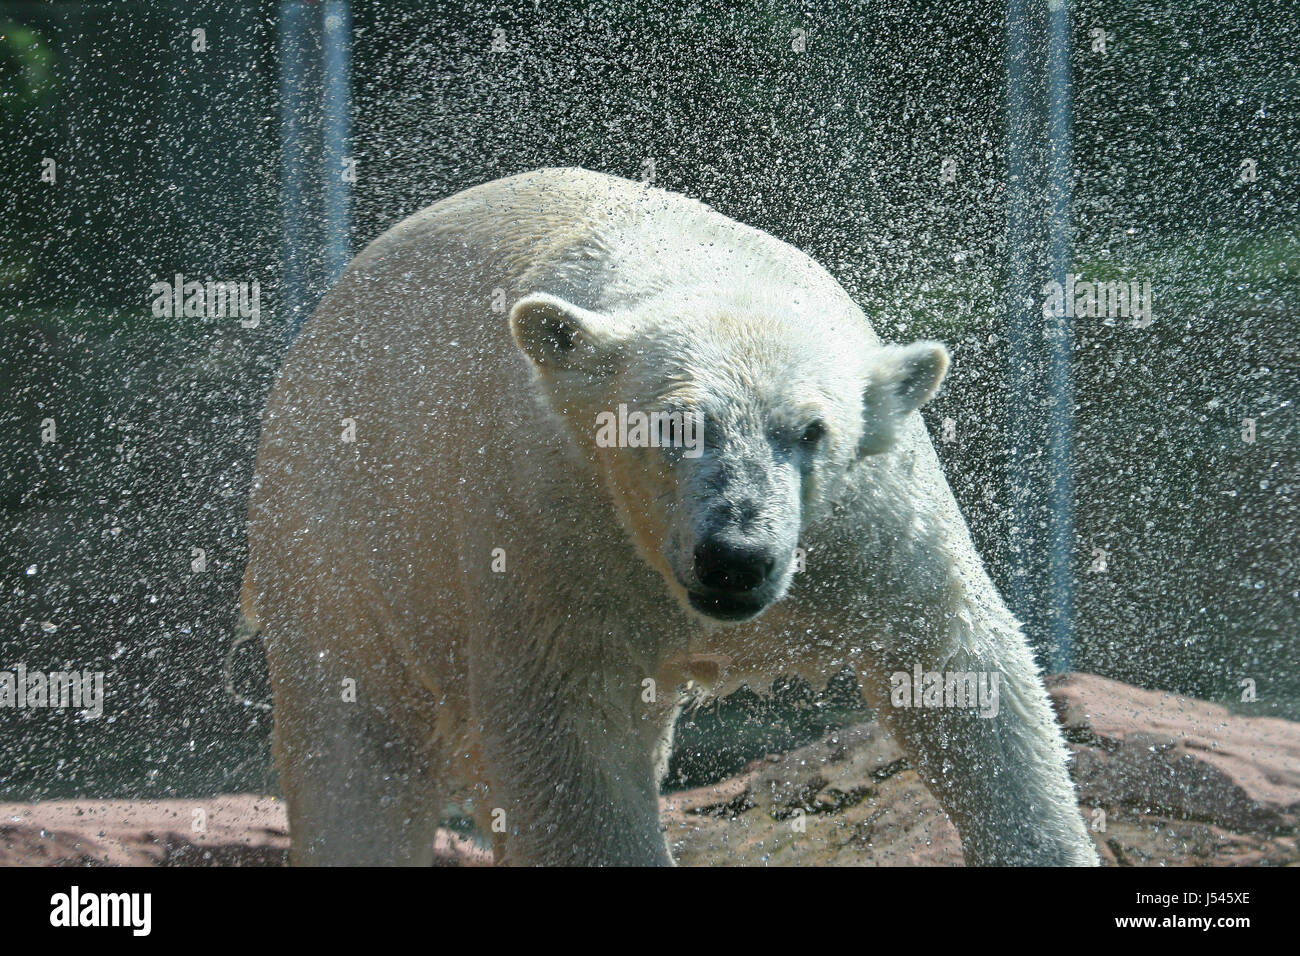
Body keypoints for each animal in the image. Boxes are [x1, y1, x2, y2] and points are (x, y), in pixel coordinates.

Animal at [242, 167, 1099, 867]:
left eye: (811, 431)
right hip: (340, 544)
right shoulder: (552, 525)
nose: (737, 555)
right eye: (675, 427)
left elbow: (960, 667)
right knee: (356, 747)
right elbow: (568, 745)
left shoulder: (870, 525)